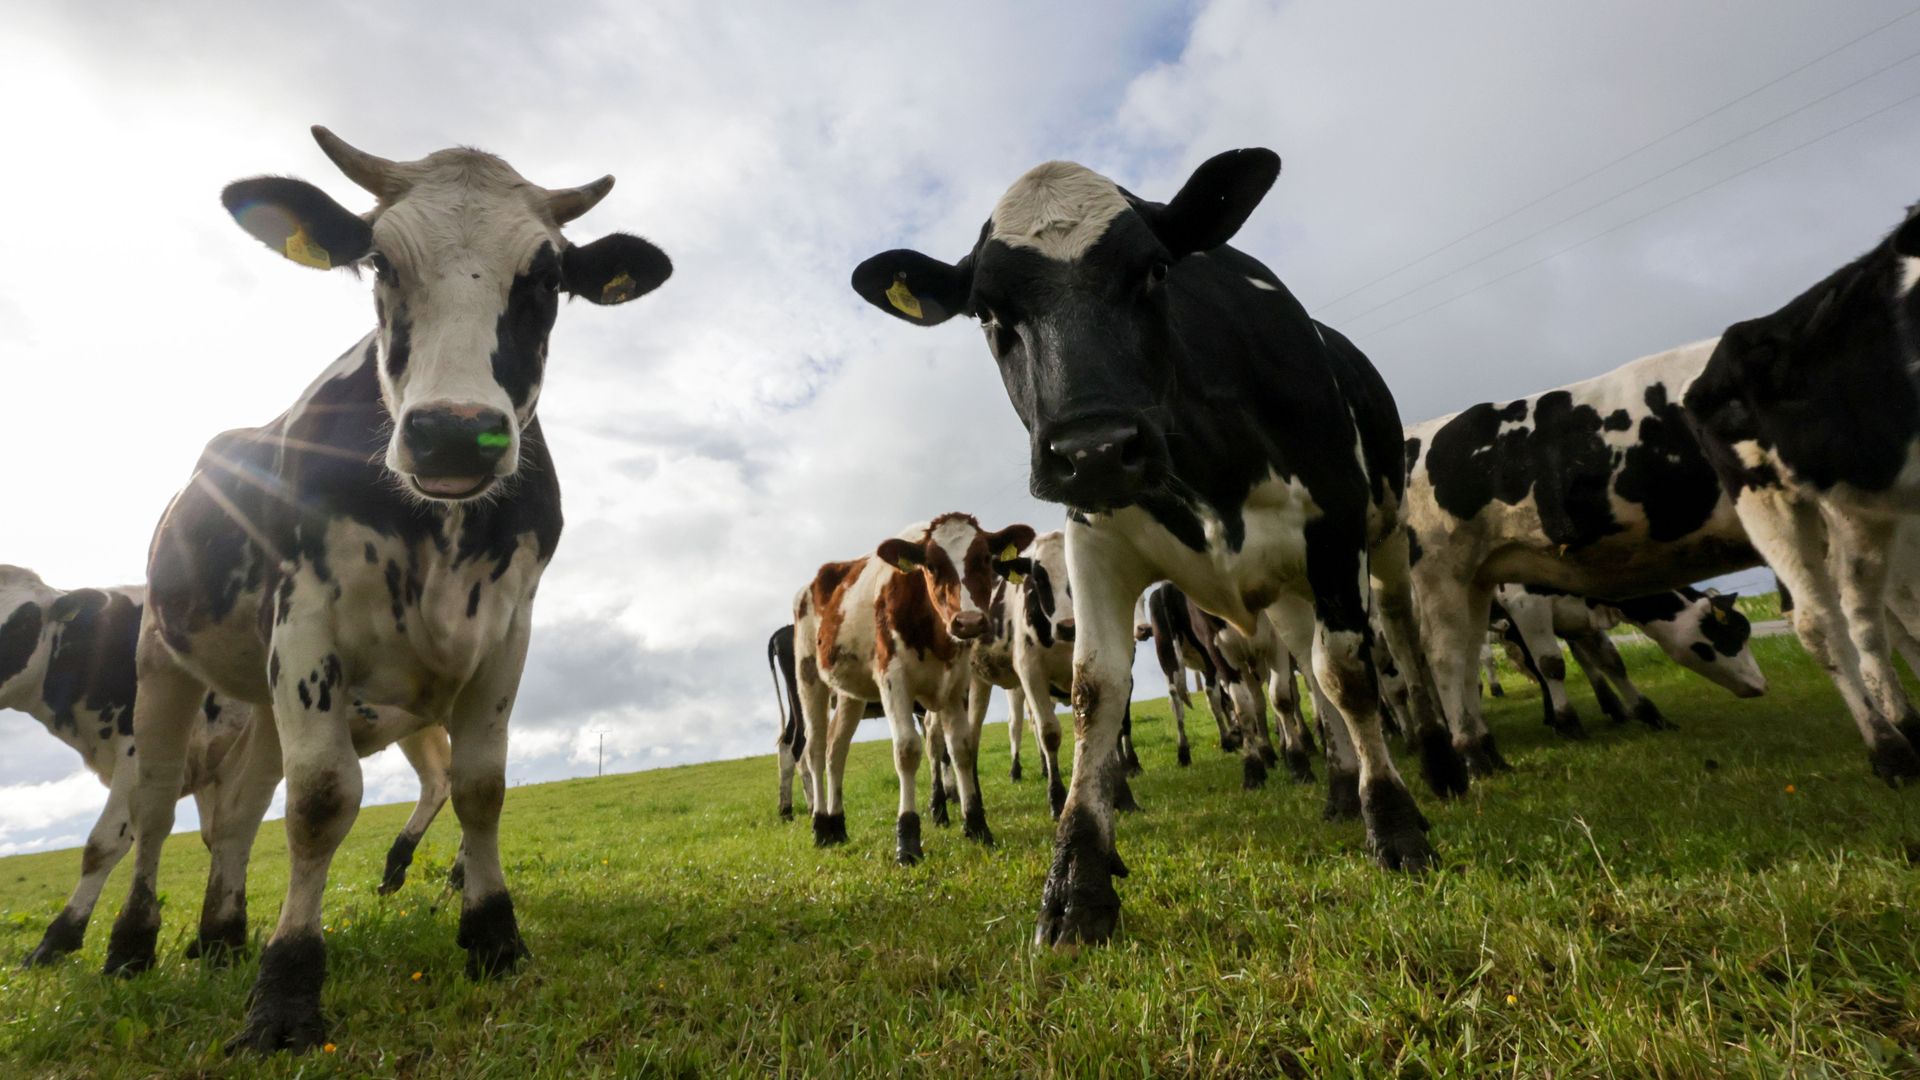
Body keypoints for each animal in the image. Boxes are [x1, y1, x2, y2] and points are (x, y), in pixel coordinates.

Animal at [95, 128, 670, 1052]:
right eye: (380, 263)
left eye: (547, 278)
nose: (453, 434)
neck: (442, 531)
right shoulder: (305, 623)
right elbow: (323, 800)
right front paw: (286, 990)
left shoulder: (509, 627)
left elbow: (480, 785)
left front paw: (493, 935)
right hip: (166, 660)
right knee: (152, 809)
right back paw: (132, 946)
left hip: (261, 696)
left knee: (238, 809)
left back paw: (220, 937)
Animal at [792, 514, 1034, 865]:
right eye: (931, 566)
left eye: (985, 560)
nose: (968, 621)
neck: (933, 631)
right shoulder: (893, 680)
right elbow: (907, 750)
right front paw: (907, 841)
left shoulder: (957, 685)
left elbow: (960, 749)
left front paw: (976, 826)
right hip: (809, 676)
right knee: (814, 749)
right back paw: (820, 826)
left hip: (851, 694)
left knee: (836, 749)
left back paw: (837, 826)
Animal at [852, 149, 1468, 946]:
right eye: (988, 312)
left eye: (1153, 270)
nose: (1094, 449)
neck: (1205, 468)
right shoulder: (1097, 540)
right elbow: (1097, 693)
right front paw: (1077, 883)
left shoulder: (1333, 523)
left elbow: (1349, 673)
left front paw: (1393, 824)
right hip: (1286, 588)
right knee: (1301, 664)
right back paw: (1338, 785)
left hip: (1383, 534)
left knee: (1390, 632)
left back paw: (1442, 763)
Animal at [1491, 584, 1765, 737]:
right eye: (1736, 632)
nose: (1762, 685)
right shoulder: (1524, 603)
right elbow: (1551, 665)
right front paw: (1568, 723)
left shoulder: (1579, 614)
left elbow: (1611, 661)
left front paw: (1650, 715)